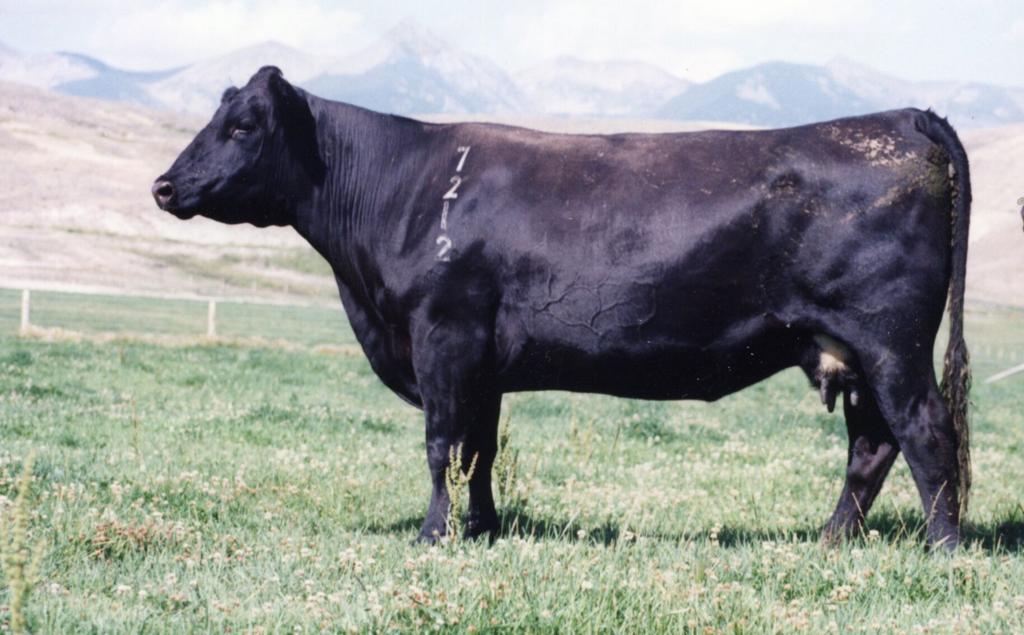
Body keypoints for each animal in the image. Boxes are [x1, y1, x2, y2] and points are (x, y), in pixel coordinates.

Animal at [153, 67, 972, 550]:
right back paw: (831, 540)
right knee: (872, 445)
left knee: (926, 431)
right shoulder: (481, 362)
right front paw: (483, 530)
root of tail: (905, 116)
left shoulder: (443, 335)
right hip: (851, 351)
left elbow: (442, 444)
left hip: (891, 342)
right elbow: (479, 449)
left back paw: (942, 548)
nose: (163, 185)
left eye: (242, 126)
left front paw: (433, 536)